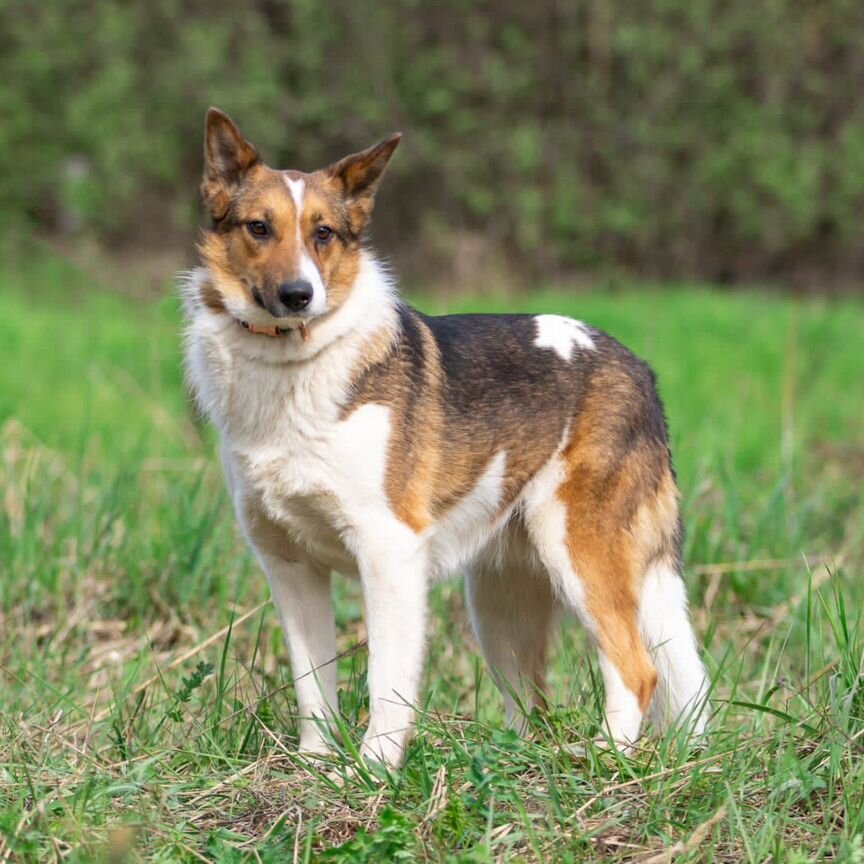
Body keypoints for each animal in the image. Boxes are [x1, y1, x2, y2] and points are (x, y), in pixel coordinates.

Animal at [184, 109, 708, 768]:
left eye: (323, 233)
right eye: (259, 228)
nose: (298, 296)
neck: (290, 366)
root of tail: (640, 371)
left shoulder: (389, 553)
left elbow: (386, 682)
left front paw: (372, 771)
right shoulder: (290, 567)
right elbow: (313, 687)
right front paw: (316, 764)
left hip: (579, 551)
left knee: (638, 670)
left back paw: (601, 757)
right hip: (499, 602)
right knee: (533, 705)